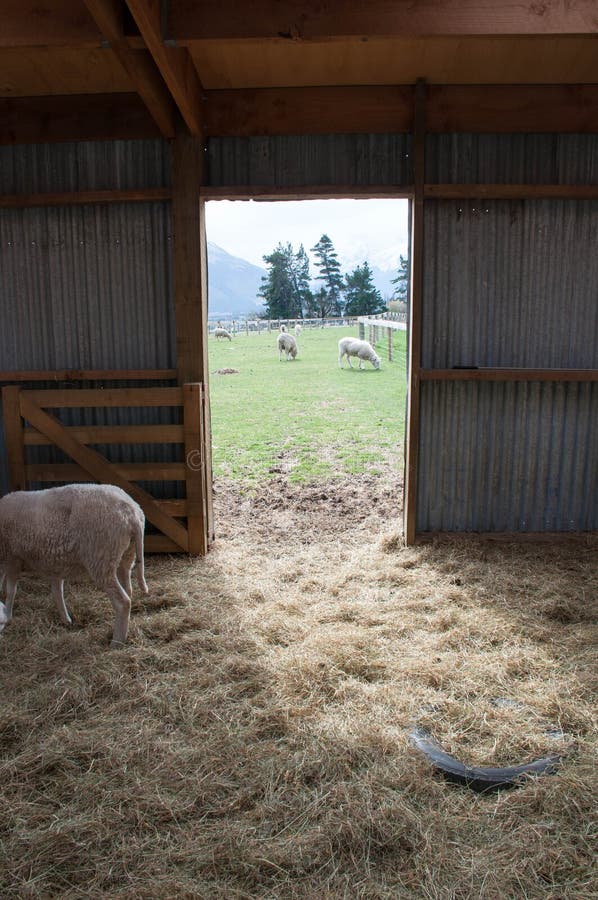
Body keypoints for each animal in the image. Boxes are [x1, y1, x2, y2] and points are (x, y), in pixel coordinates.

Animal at [0, 484, 148, 647]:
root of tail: (132, 513)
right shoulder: (54, 564)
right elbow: (57, 591)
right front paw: (66, 619)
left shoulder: (12, 559)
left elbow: (11, 591)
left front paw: (8, 616)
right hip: (126, 555)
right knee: (128, 589)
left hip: (101, 558)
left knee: (123, 602)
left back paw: (117, 641)